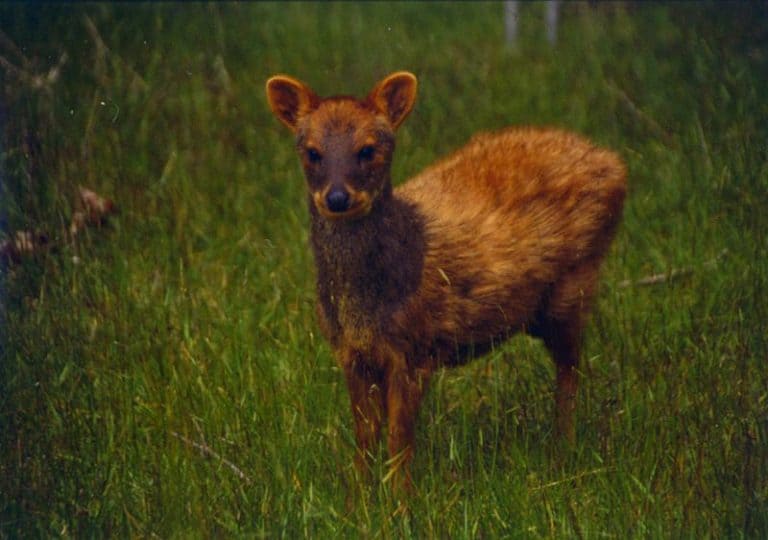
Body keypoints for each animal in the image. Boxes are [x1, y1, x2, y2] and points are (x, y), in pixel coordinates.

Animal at [266, 71, 626, 492]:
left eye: (368, 149)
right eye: (312, 152)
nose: (338, 198)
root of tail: (614, 163)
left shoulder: (414, 349)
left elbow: (399, 443)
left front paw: (400, 503)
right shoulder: (351, 354)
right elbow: (365, 440)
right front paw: (358, 499)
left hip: (573, 286)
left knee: (570, 370)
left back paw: (563, 453)